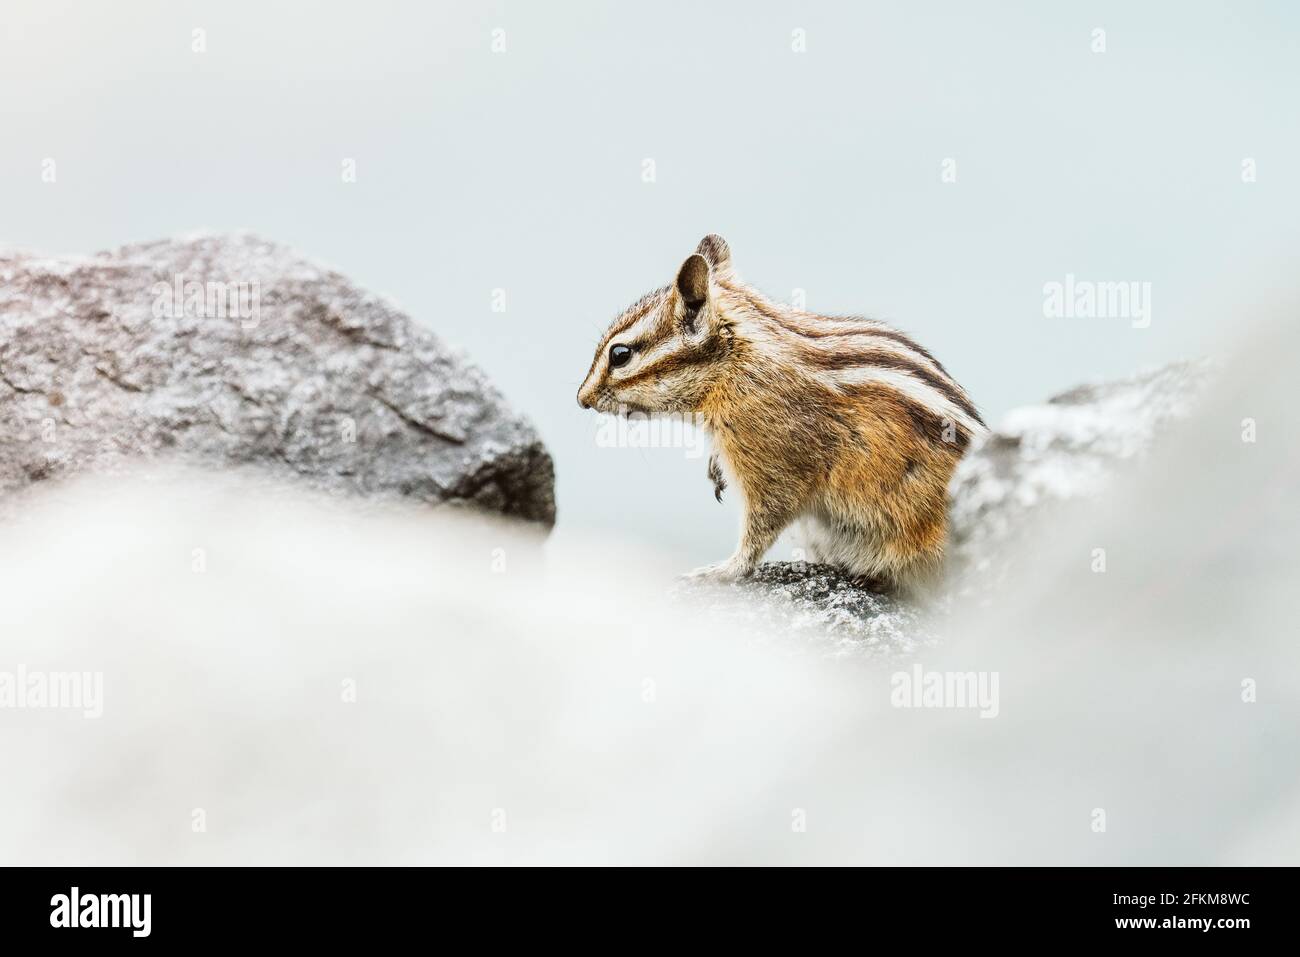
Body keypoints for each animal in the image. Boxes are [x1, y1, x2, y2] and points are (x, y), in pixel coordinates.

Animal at [577, 235, 985, 593]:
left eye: (620, 355)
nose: (581, 399)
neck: (737, 364)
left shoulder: (772, 465)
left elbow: (761, 526)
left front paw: (723, 570)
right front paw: (714, 470)